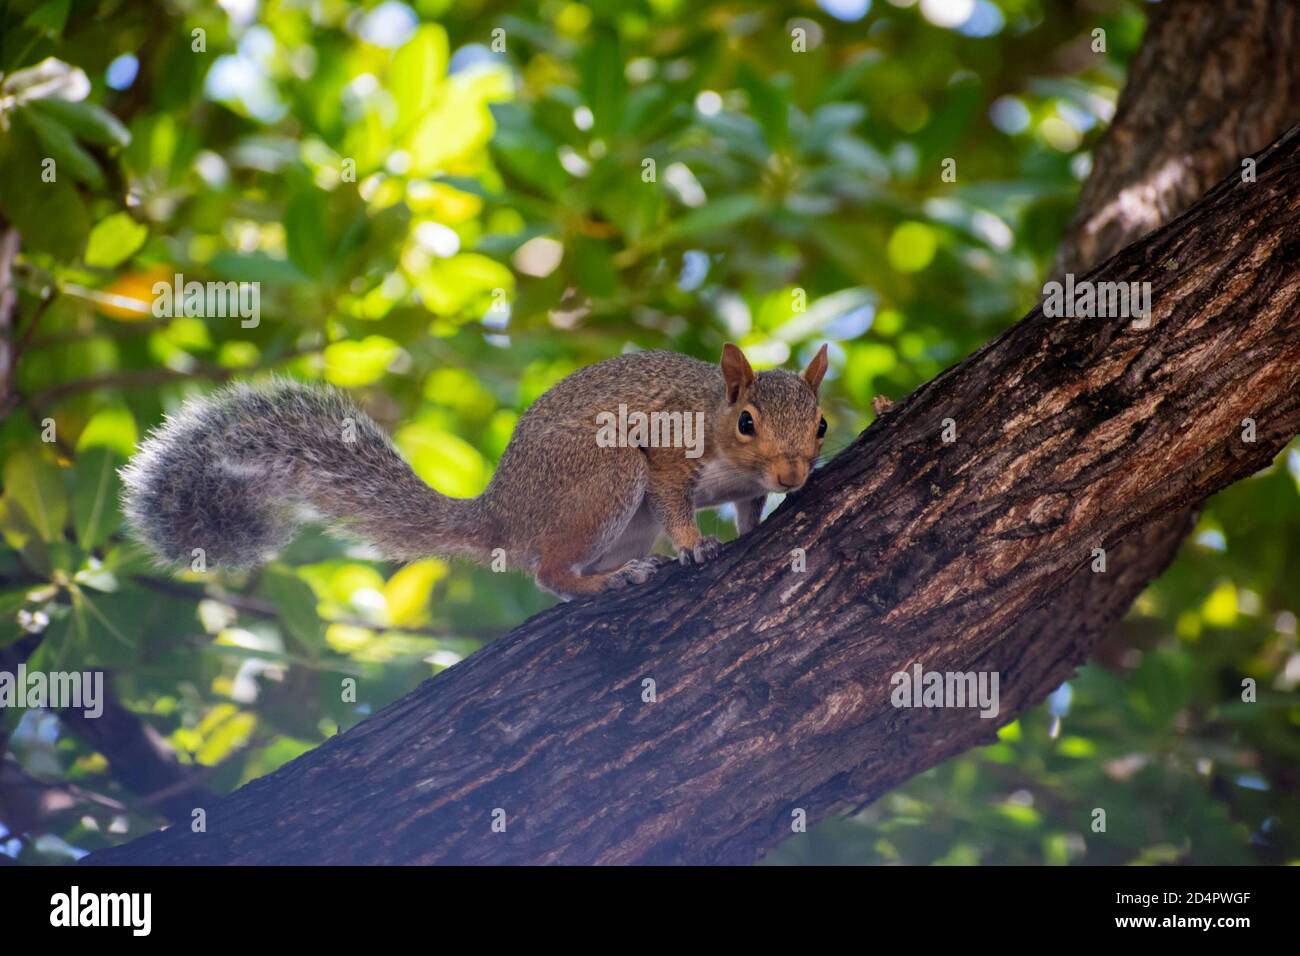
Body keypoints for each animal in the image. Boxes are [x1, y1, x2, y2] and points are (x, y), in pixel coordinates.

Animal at [121, 343, 829, 600]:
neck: (712, 414)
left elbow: (746, 509)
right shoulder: (667, 456)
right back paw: (610, 580)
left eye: (821, 426)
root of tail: (501, 514)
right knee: (549, 573)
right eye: (746, 423)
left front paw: (751, 527)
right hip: (603, 478)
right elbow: (677, 502)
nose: (793, 476)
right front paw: (694, 546)